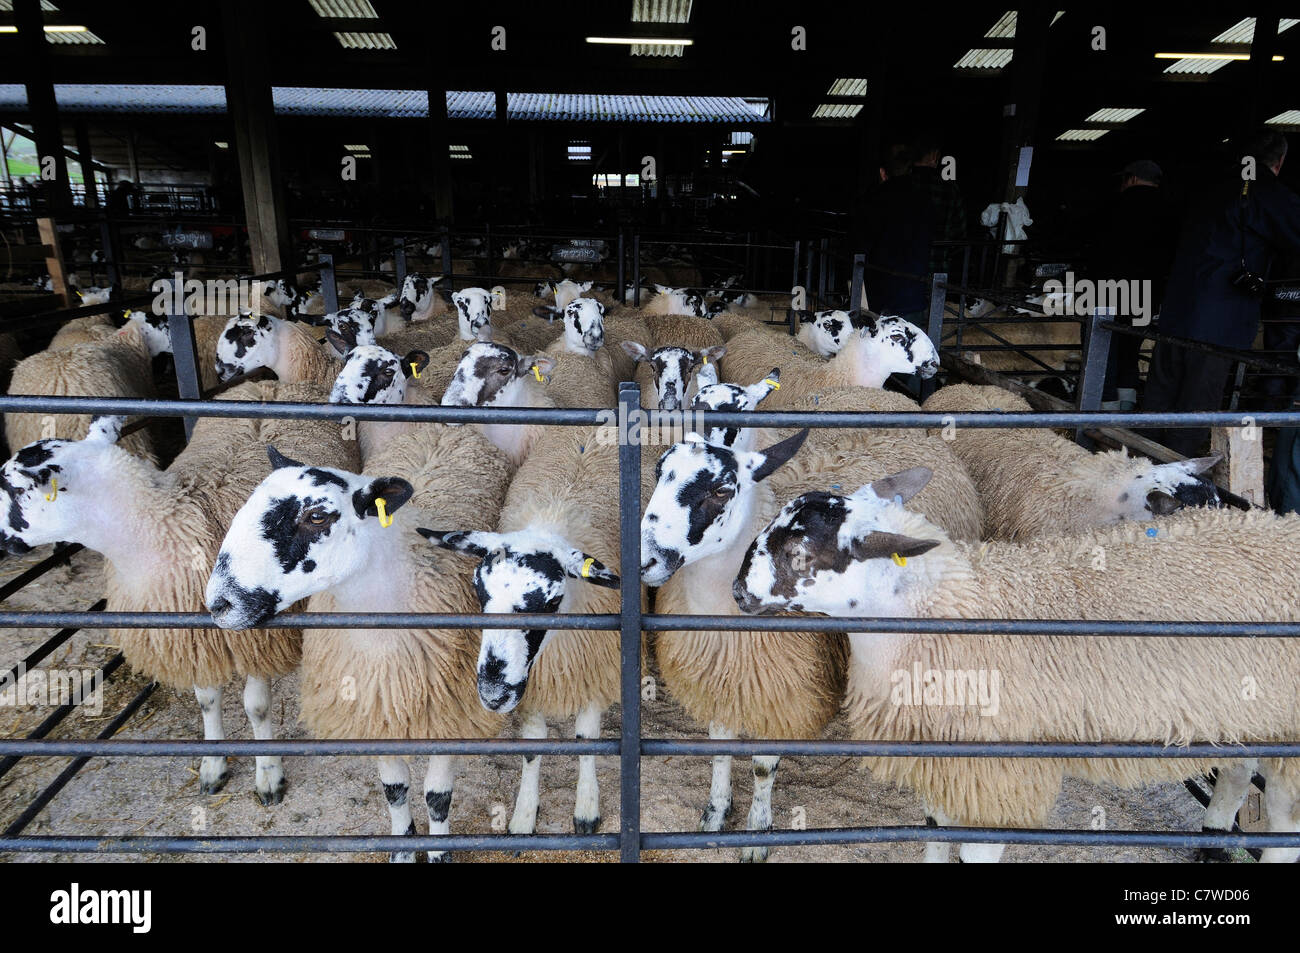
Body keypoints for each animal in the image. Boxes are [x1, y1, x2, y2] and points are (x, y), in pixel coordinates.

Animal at [0, 380, 358, 803]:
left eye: (14, 488)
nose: (1, 540)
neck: (161, 526)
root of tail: (271, 384)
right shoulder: (191, 636)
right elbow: (207, 701)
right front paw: (213, 766)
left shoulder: (255, 634)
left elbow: (255, 707)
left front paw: (268, 773)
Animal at [206, 422, 513, 862]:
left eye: (316, 515)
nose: (218, 603)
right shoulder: (372, 707)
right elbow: (395, 790)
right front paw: (403, 850)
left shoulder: (450, 713)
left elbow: (437, 796)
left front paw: (438, 853)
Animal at [419, 422, 627, 836]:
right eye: (478, 590)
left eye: (550, 602)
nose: (493, 694)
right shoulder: (532, 685)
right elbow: (532, 745)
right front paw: (523, 815)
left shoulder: (596, 665)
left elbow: (587, 738)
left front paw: (587, 810)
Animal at [734, 473, 1300, 863]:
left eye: (803, 551)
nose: (737, 591)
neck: (949, 613)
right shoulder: (946, 763)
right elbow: (934, 839)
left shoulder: (999, 777)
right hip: (1246, 713)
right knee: (1238, 770)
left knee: (1283, 827)